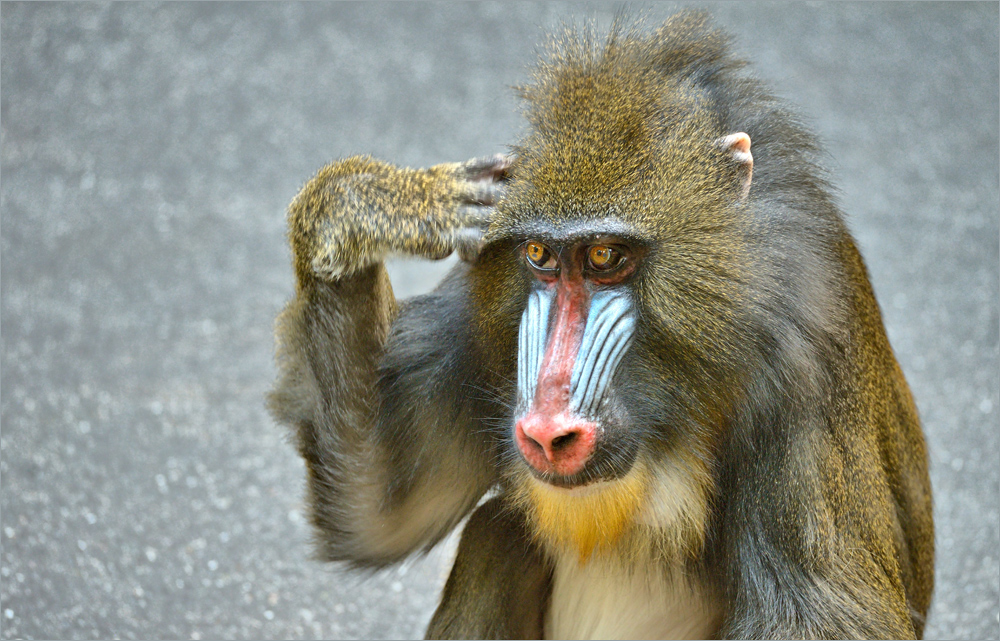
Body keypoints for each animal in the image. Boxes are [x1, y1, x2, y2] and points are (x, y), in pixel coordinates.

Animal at [269, 11, 934, 639]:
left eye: (606, 256)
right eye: (539, 255)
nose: (546, 431)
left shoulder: (804, 360)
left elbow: (821, 613)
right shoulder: (472, 320)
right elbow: (380, 507)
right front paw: (376, 203)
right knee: (496, 532)